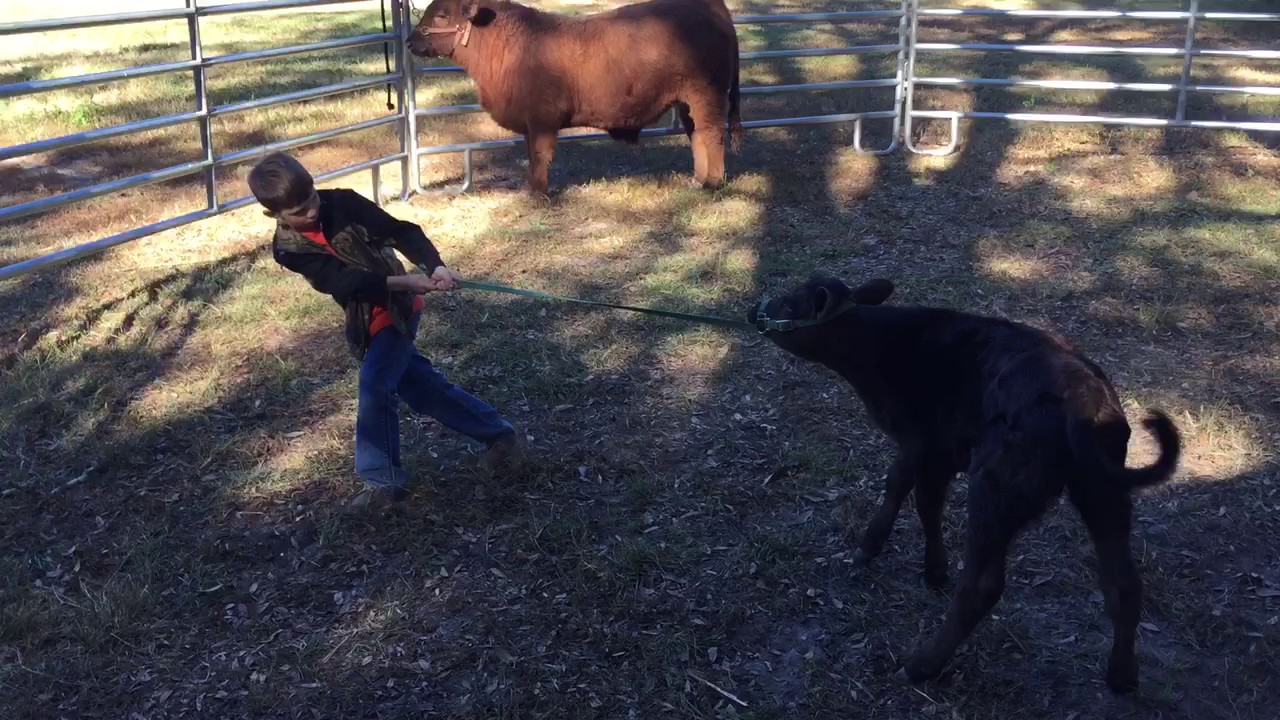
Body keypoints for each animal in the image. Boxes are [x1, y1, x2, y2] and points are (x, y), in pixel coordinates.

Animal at [408, 0, 742, 195]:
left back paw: (713, 182)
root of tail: (712, 7)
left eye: (441, 15)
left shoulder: (541, 119)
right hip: (688, 102)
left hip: (707, 94)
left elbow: (539, 154)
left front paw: (539, 193)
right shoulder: (530, 121)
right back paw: (698, 180)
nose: (410, 41)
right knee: (696, 135)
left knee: (712, 135)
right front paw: (532, 188)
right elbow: (530, 153)